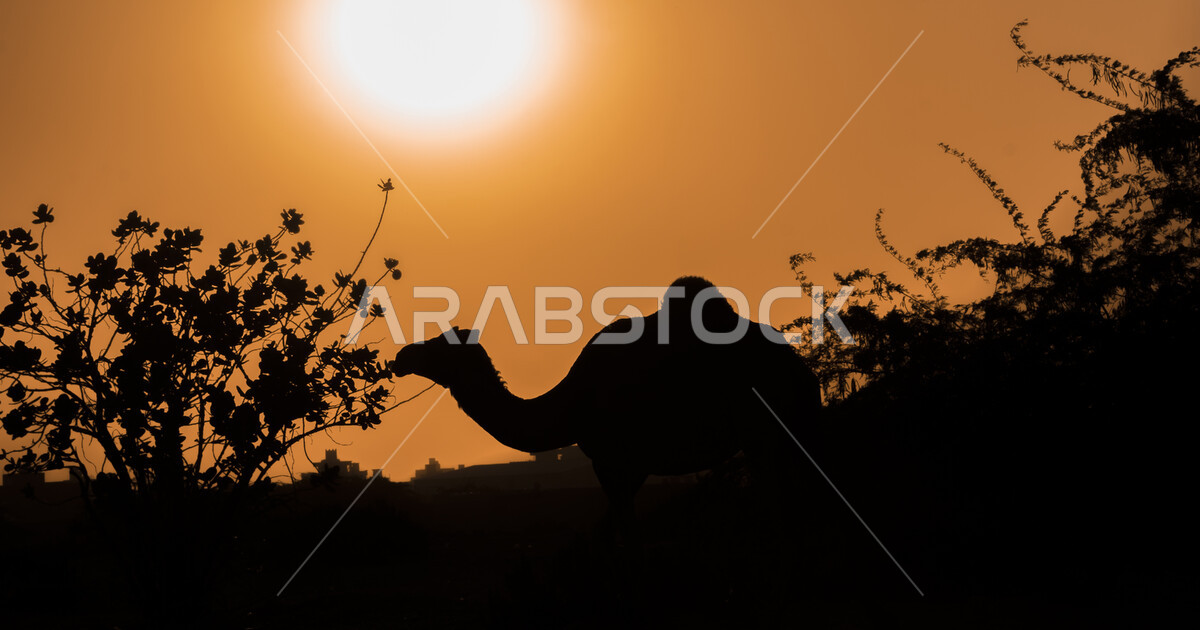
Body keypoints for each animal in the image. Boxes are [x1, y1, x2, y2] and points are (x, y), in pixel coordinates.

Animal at [389, 276, 821, 522]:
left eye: (440, 345)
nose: (402, 356)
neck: (570, 404)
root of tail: (802, 370)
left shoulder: (614, 459)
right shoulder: (632, 466)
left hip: (765, 431)